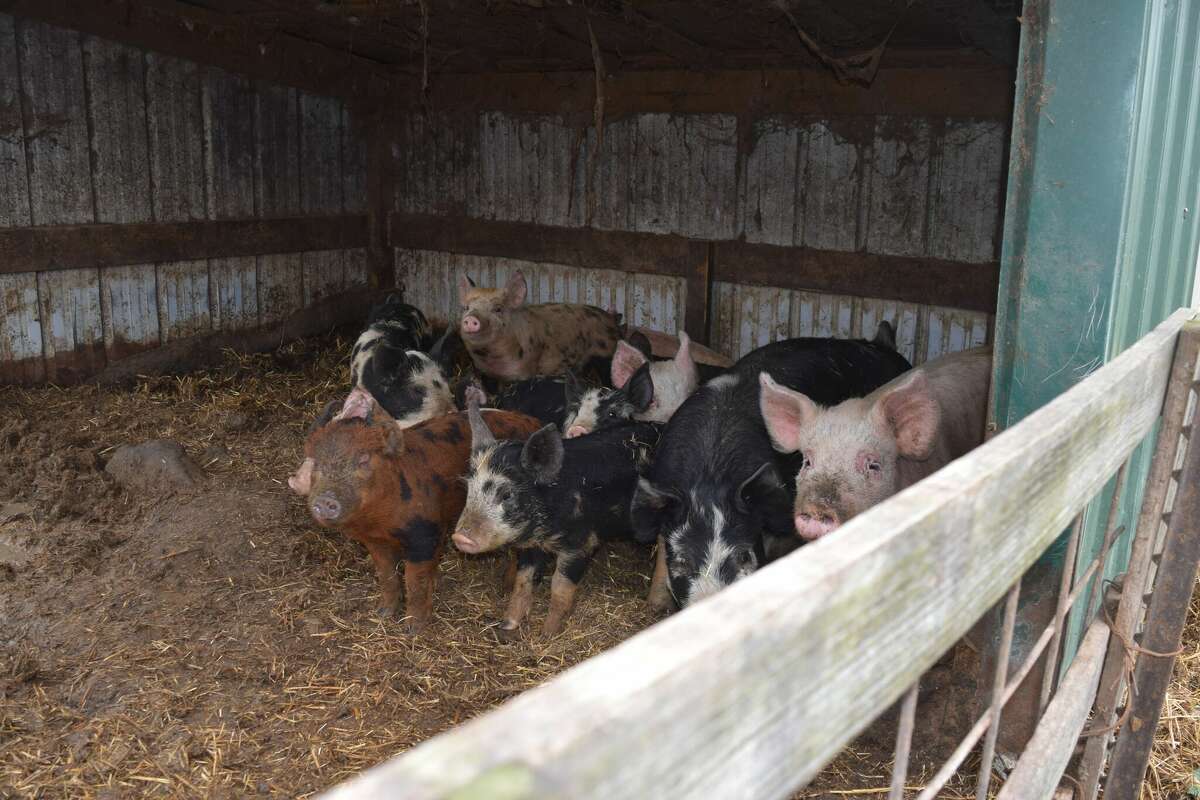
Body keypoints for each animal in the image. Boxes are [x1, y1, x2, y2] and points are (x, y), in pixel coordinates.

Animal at [294, 394, 542, 631]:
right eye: (315, 461)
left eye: (363, 460)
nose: (325, 499)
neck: (379, 522)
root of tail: (532, 421)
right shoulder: (374, 542)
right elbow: (386, 576)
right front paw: (382, 613)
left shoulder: (426, 535)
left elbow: (415, 581)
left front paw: (413, 628)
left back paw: (505, 587)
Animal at [453, 398, 662, 636]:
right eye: (469, 488)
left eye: (506, 494)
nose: (459, 538)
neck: (545, 530)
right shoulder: (531, 546)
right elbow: (522, 581)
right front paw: (507, 625)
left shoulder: (582, 544)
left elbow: (560, 587)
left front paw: (547, 634)